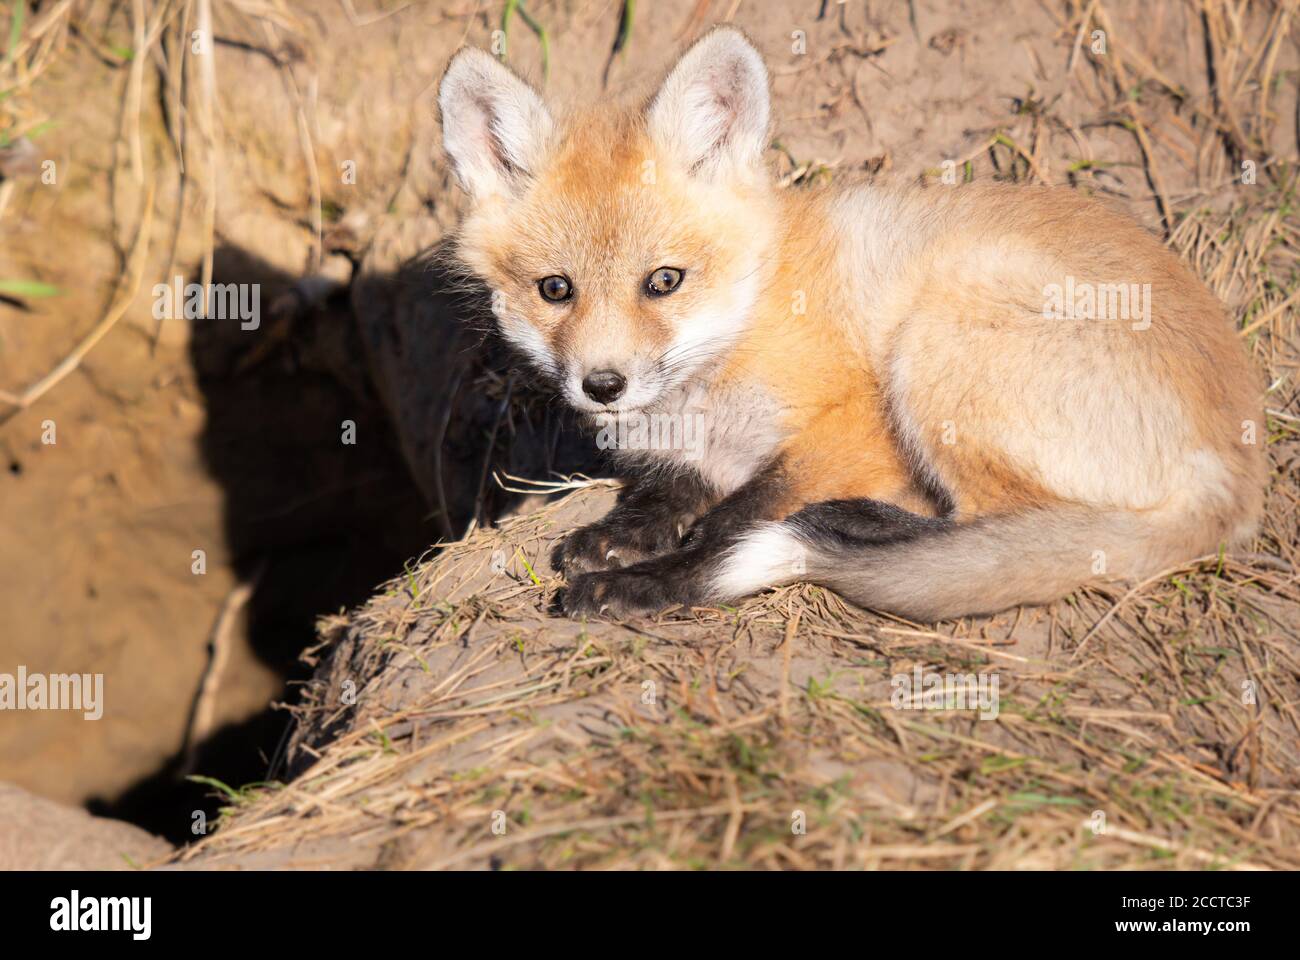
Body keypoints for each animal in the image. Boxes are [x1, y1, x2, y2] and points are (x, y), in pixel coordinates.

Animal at [436, 27, 1266, 622]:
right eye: (556, 289)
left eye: (663, 281)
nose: (602, 385)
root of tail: (1237, 457)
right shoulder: (686, 454)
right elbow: (670, 496)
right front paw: (621, 536)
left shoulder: (857, 424)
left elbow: (734, 521)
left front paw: (655, 575)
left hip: (937, 344)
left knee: (993, 524)